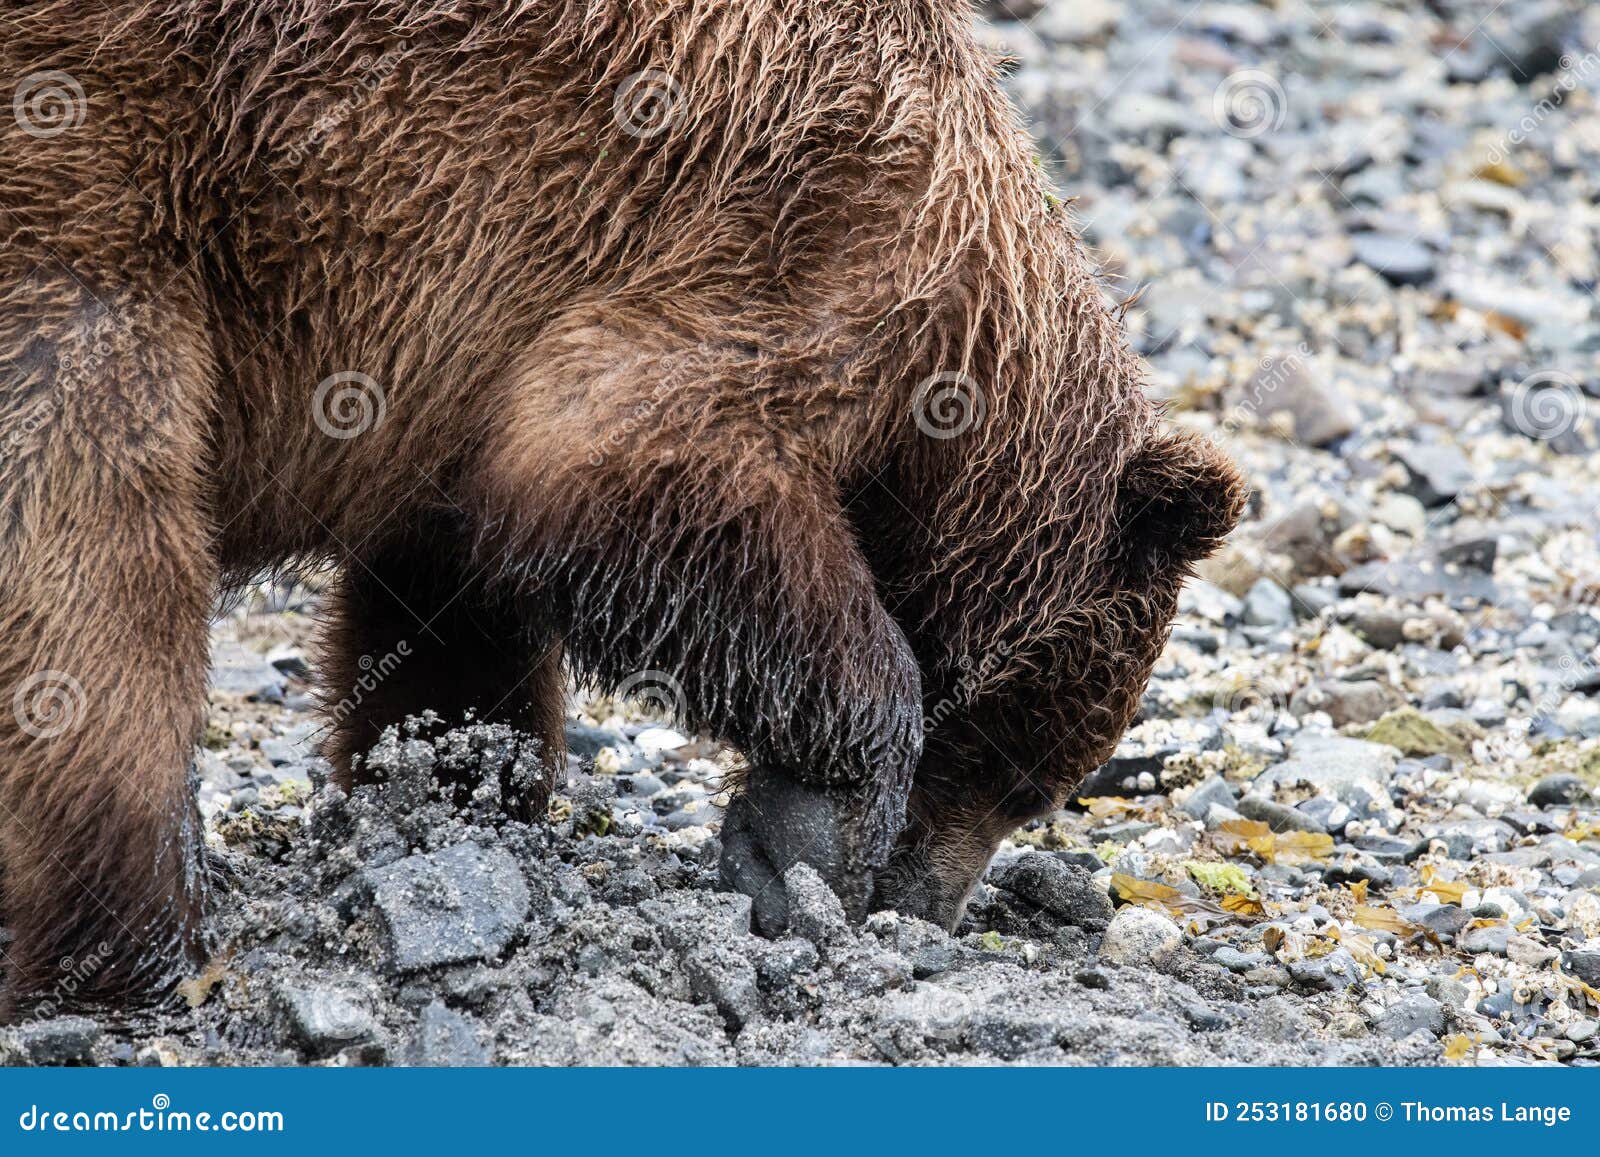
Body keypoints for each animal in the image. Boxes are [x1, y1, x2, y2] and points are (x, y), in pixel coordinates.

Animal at [0, 0, 1245, 1011]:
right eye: (1027, 781)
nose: (922, 908)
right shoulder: (798, 239)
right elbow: (621, 458)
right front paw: (809, 844)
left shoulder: (457, 385)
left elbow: (454, 614)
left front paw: (455, 795)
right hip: (107, 181)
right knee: (96, 561)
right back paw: (138, 943)